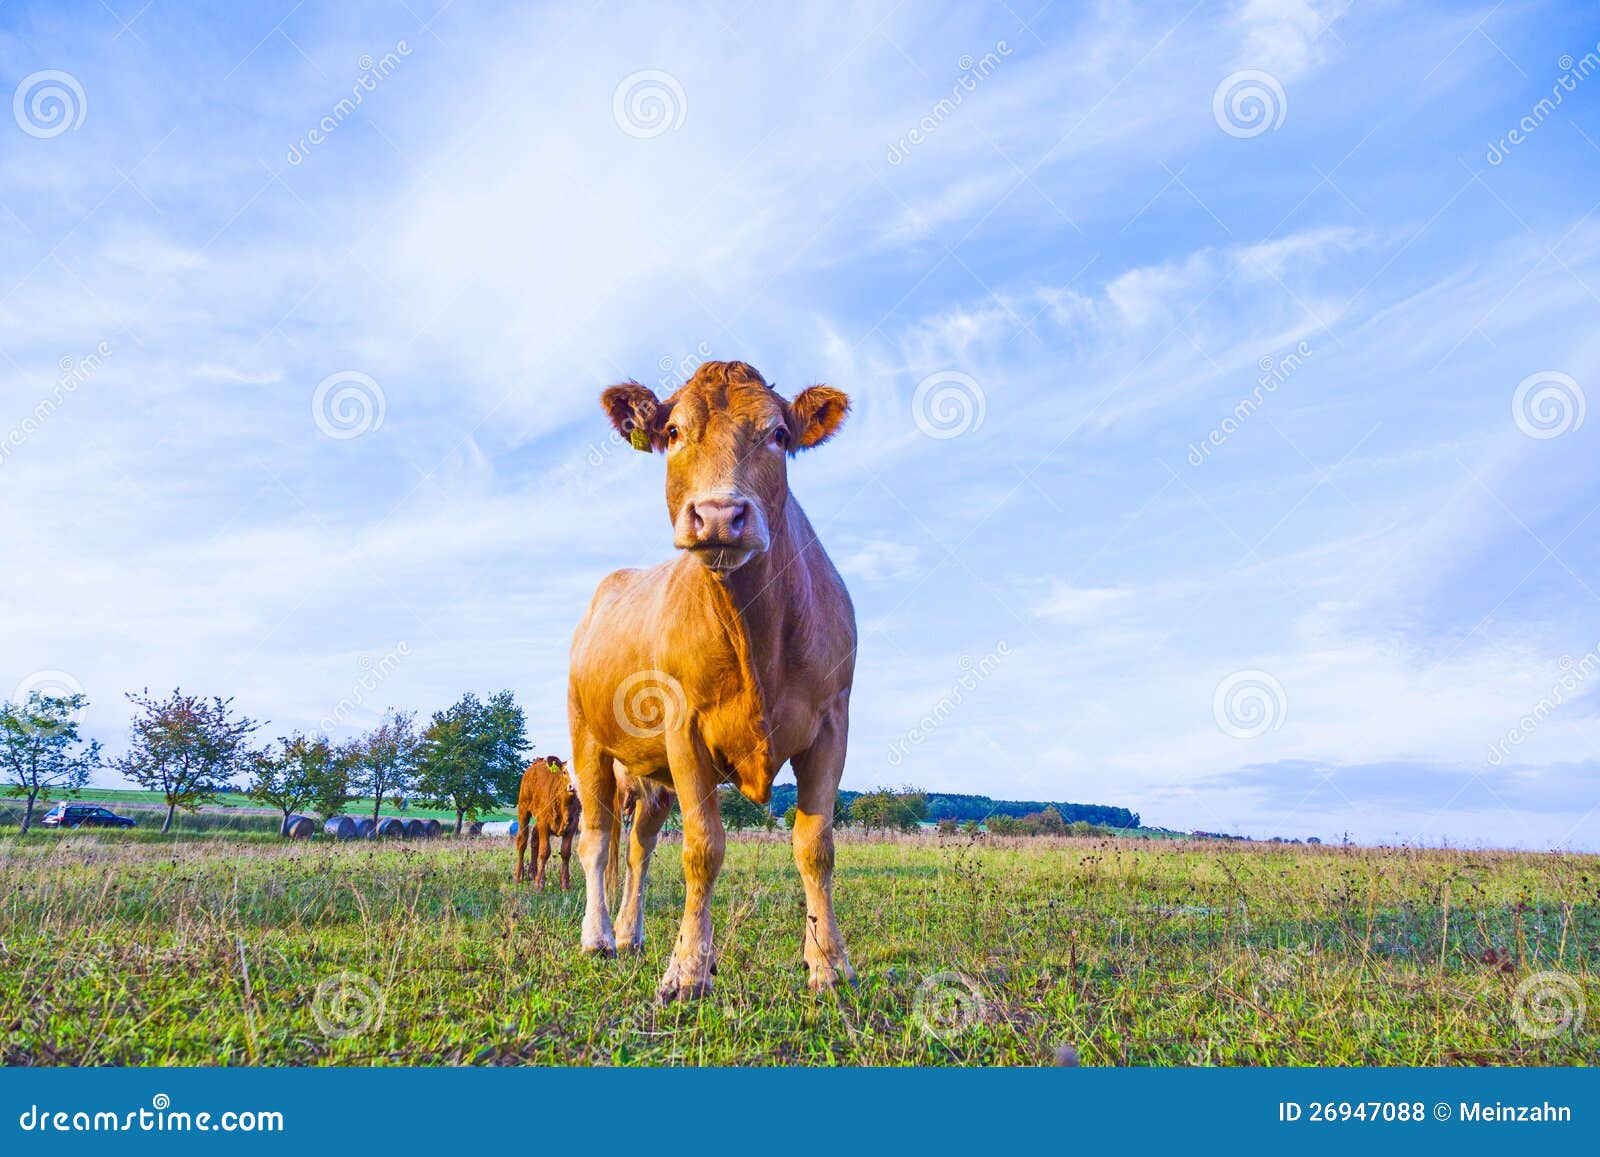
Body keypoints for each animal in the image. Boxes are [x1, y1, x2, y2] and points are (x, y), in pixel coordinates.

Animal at [514, 756, 580, 889]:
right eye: (564, 772)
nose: (572, 786)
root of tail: (538, 761)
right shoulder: (544, 823)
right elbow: (544, 852)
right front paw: (539, 884)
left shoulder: (573, 826)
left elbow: (566, 853)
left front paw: (565, 884)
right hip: (523, 808)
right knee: (522, 841)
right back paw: (519, 875)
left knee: (534, 839)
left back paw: (533, 873)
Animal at [567, 359, 856, 1003]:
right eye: (673, 432)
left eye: (779, 434)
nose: (720, 515)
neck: (759, 642)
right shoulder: (685, 730)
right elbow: (703, 847)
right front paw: (688, 970)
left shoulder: (832, 722)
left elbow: (816, 847)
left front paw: (828, 963)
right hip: (586, 739)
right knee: (596, 839)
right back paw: (599, 938)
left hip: (652, 775)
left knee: (639, 846)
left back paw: (631, 934)